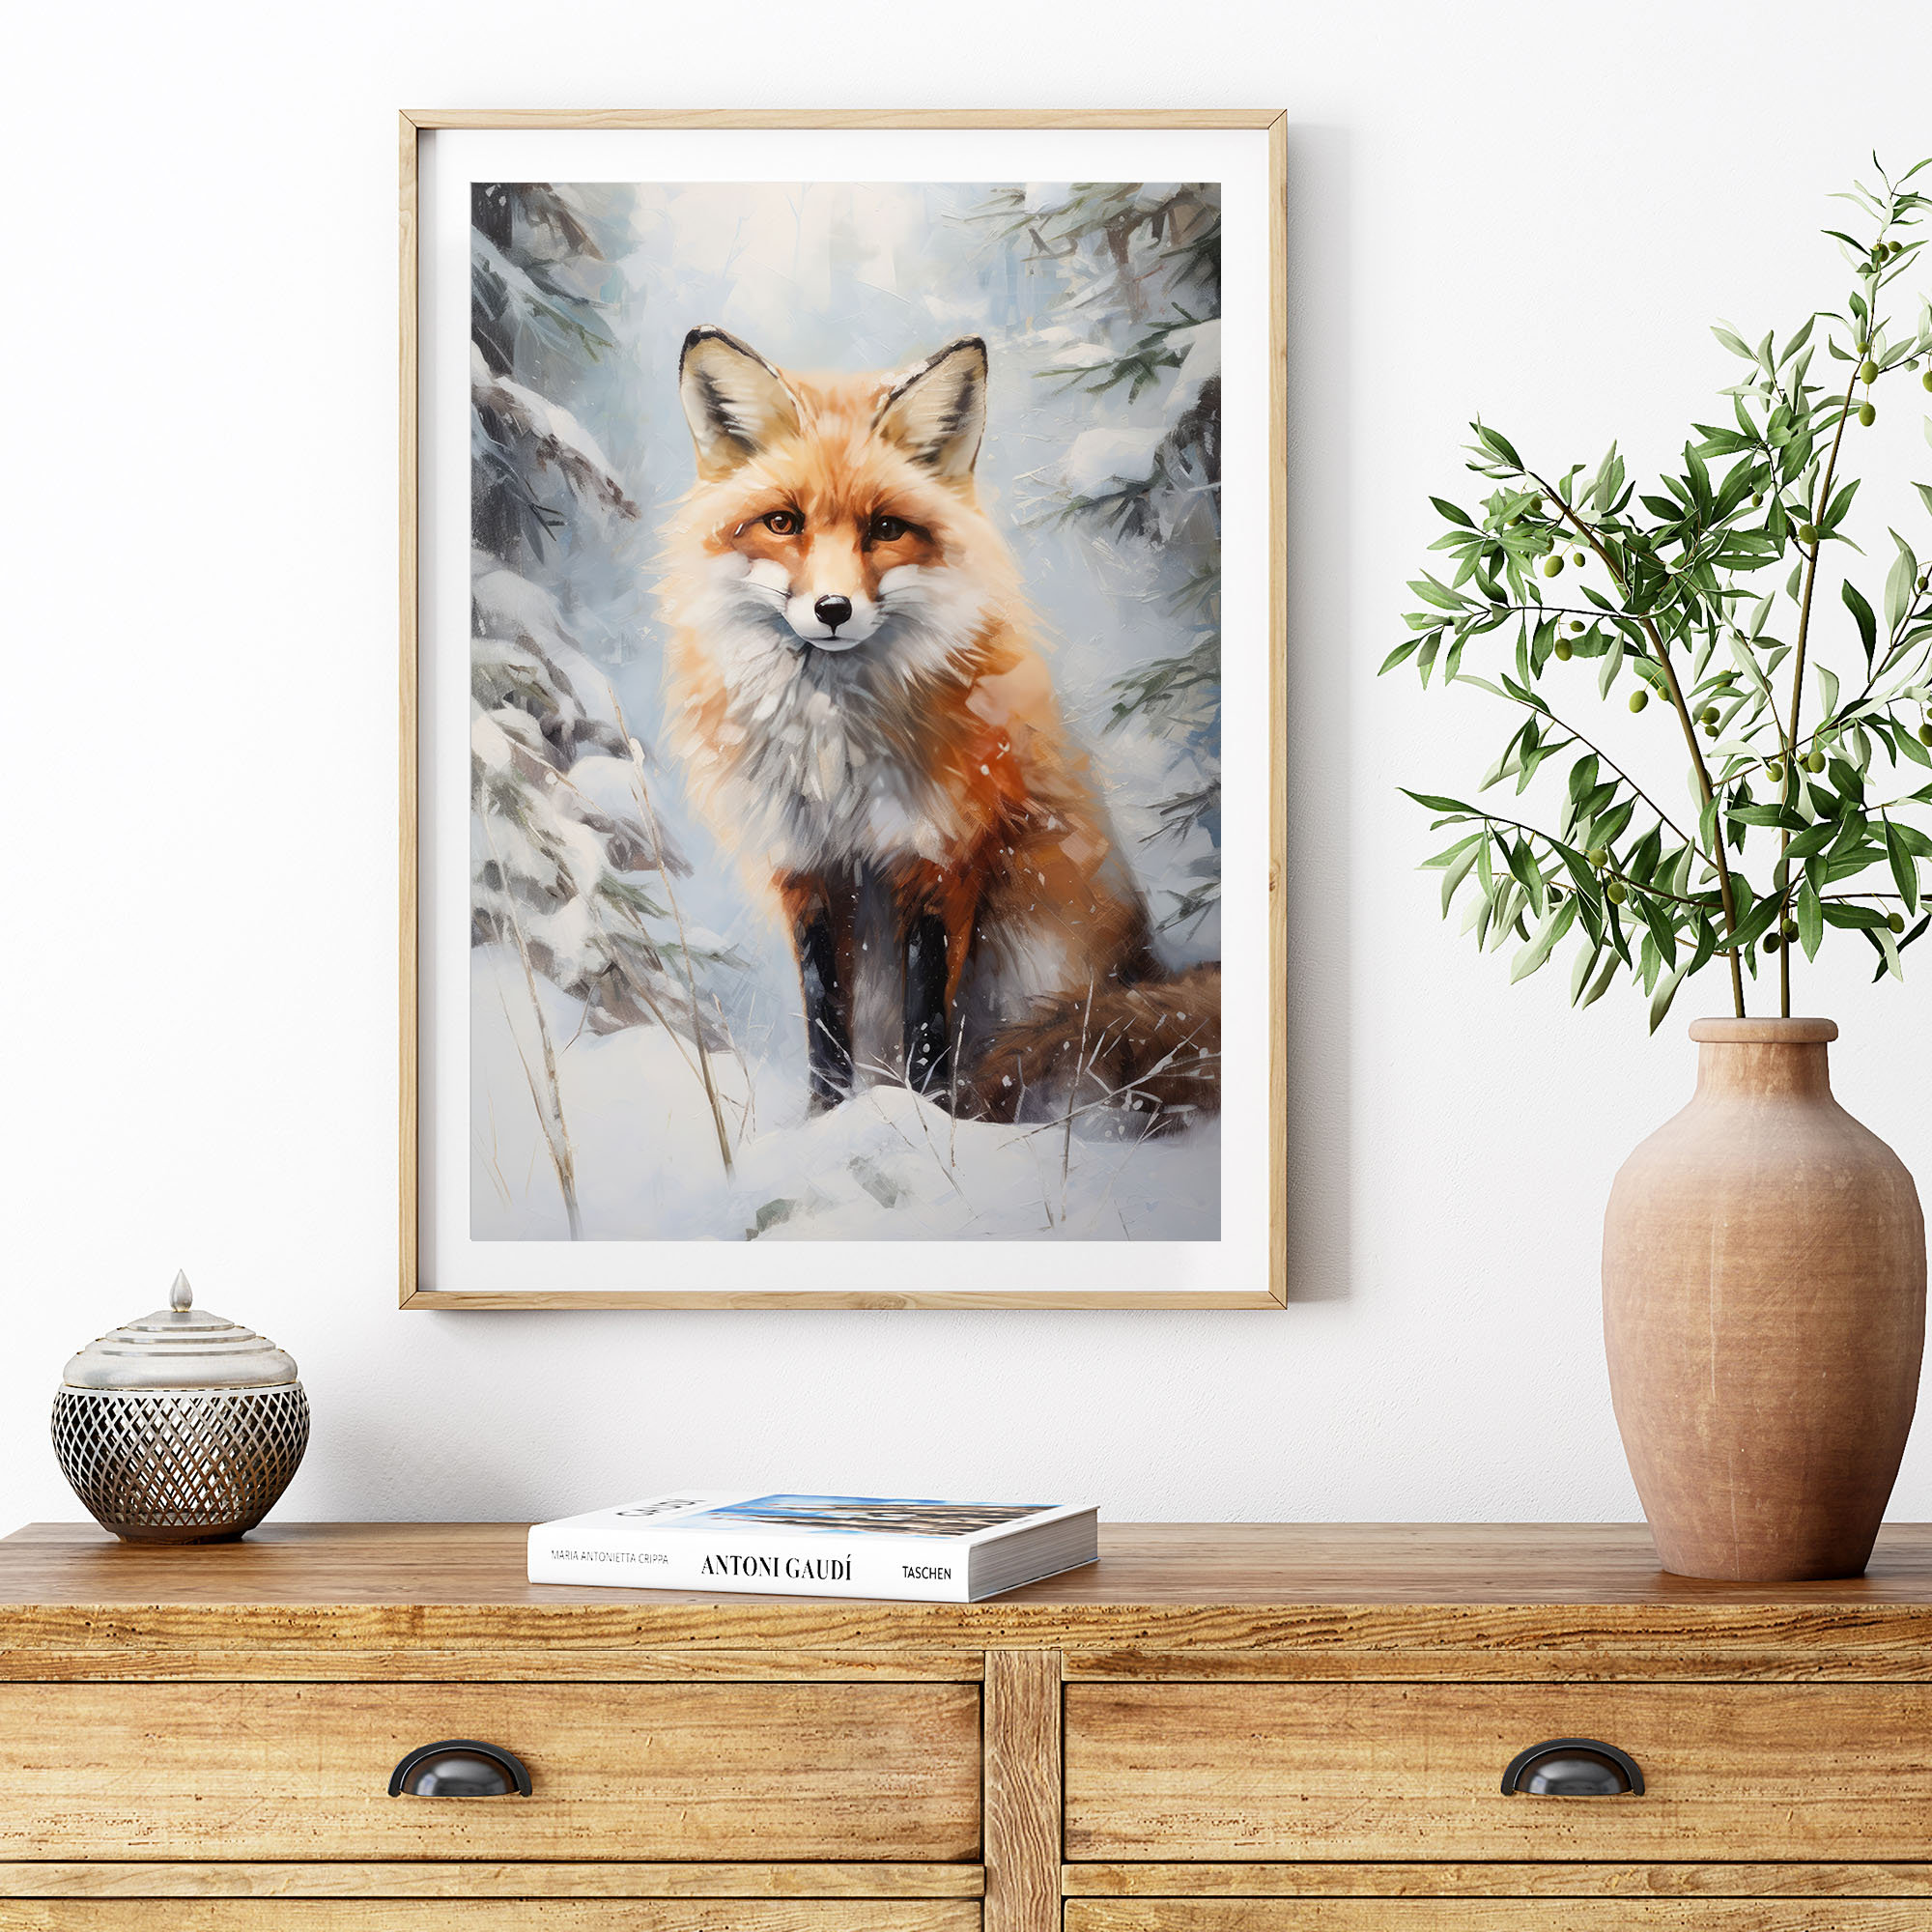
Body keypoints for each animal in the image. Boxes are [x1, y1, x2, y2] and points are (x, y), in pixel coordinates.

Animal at [657, 325, 1219, 1127]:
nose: (833, 610)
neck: (838, 756)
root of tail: (1145, 965)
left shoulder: (942, 854)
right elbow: (826, 1022)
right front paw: (826, 1123)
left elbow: (928, 1025)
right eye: (783, 523)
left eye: (886, 529)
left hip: (1037, 945)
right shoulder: (809, 869)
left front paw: (930, 1125)